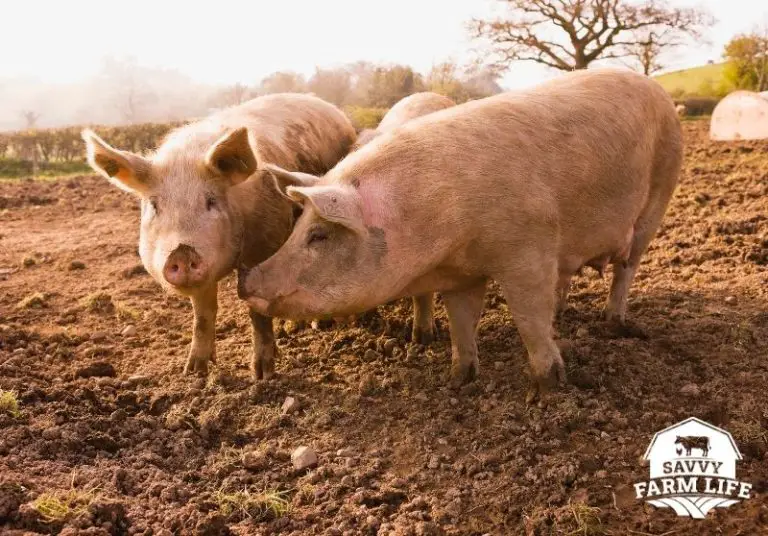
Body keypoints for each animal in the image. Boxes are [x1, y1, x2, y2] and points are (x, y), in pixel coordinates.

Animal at [82, 93, 356, 380]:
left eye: (211, 201)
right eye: (155, 205)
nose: (182, 252)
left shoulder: (264, 244)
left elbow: (256, 312)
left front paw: (262, 374)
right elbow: (202, 315)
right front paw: (193, 372)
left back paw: (320, 324)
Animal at [238, 69, 683, 401]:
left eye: (319, 235)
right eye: (298, 226)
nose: (246, 279)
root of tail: (655, 86)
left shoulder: (527, 249)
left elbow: (529, 319)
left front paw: (547, 391)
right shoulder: (459, 274)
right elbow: (461, 323)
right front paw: (458, 381)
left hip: (661, 190)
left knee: (627, 267)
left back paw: (614, 323)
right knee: (568, 279)